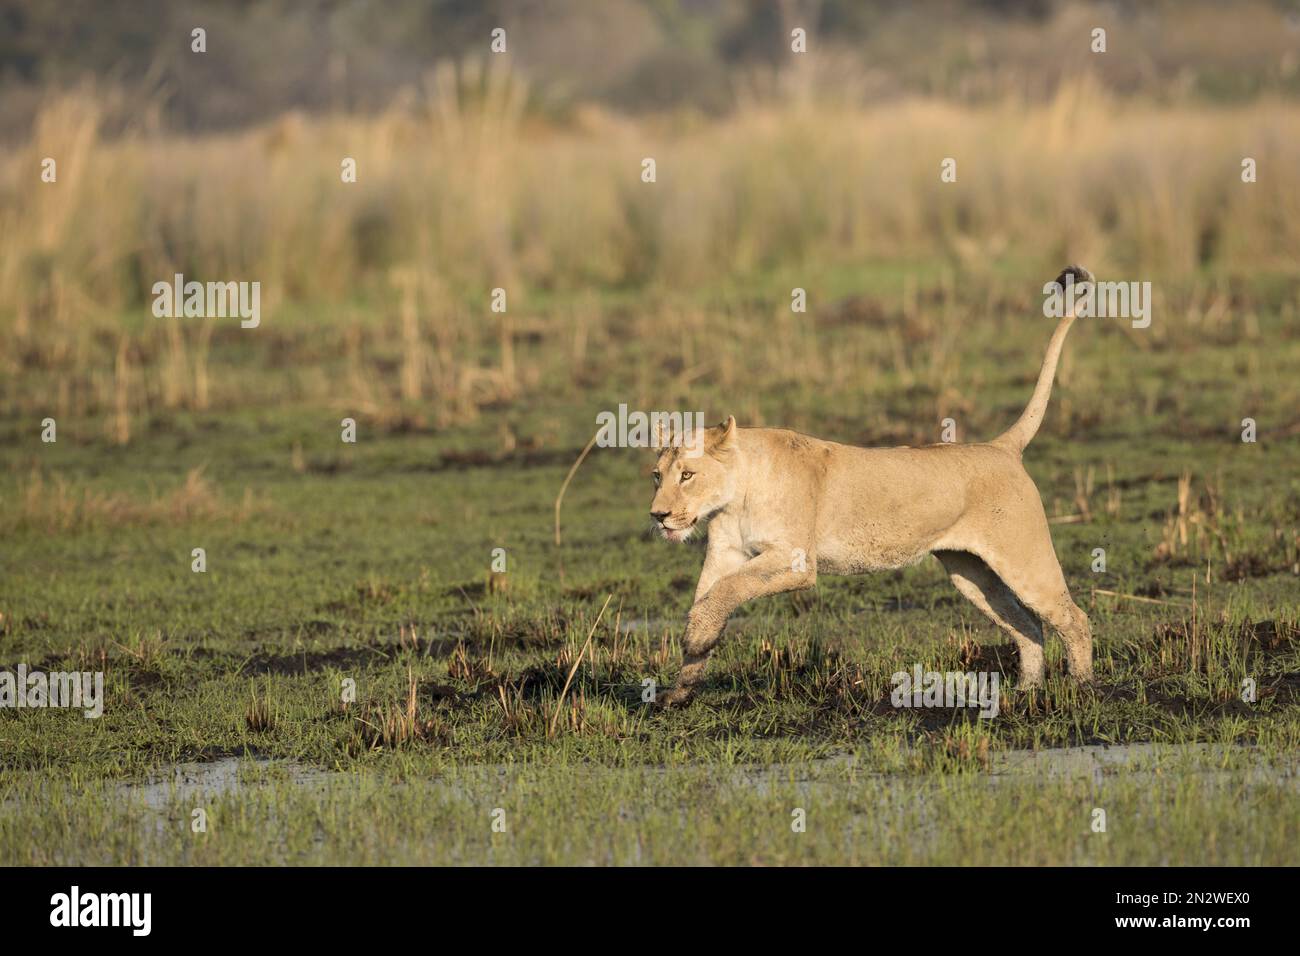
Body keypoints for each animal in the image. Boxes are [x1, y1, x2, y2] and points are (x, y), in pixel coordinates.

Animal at [648, 266, 1097, 707]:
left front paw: (696, 640)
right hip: (971, 573)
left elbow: (729, 589)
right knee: (1026, 623)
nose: (658, 515)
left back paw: (1082, 689)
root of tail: (1001, 446)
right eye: (657, 475)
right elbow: (709, 594)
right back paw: (1028, 691)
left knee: (1072, 617)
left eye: (687, 475)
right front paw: (682, 685)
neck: (734, 497)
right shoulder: (726, 553)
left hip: (1023, 557)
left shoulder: (797, 561)